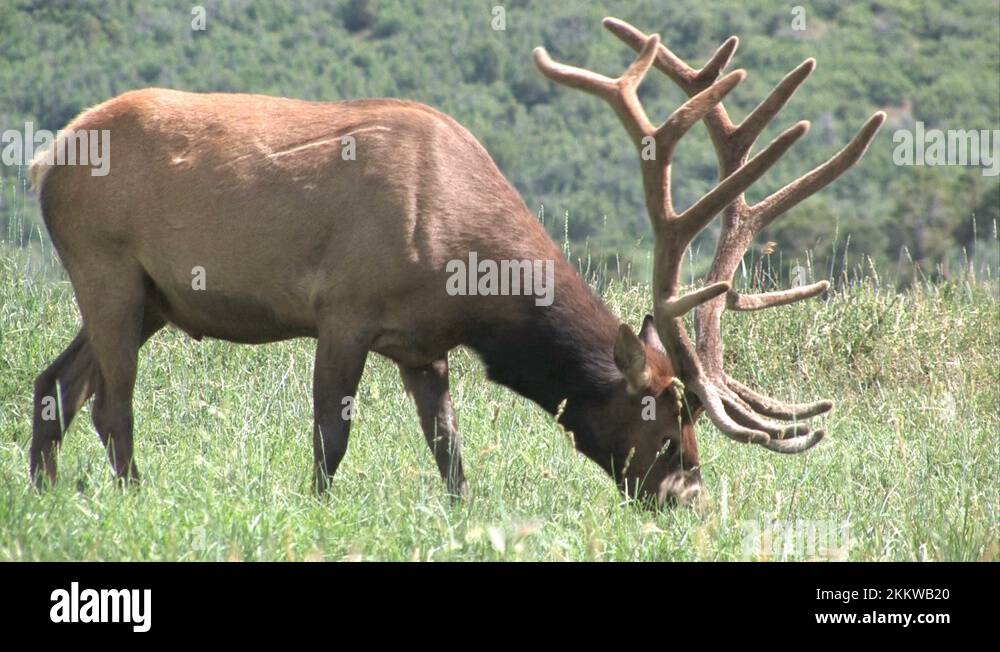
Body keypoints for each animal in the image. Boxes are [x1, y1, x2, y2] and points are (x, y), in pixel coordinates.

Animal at [28, 16, 884, 507]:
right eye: (671, 434)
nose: (693, 505)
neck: (470, 276)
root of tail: (45, 158)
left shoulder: (425, 346)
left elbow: (450, 455)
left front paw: (460, 513)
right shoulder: (343, 310)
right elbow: (329, 439)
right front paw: (319, 512)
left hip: (150, 300)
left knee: (54, 385)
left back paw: (45, 495)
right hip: (104, 266)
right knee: (111, 405)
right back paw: (131, 498)